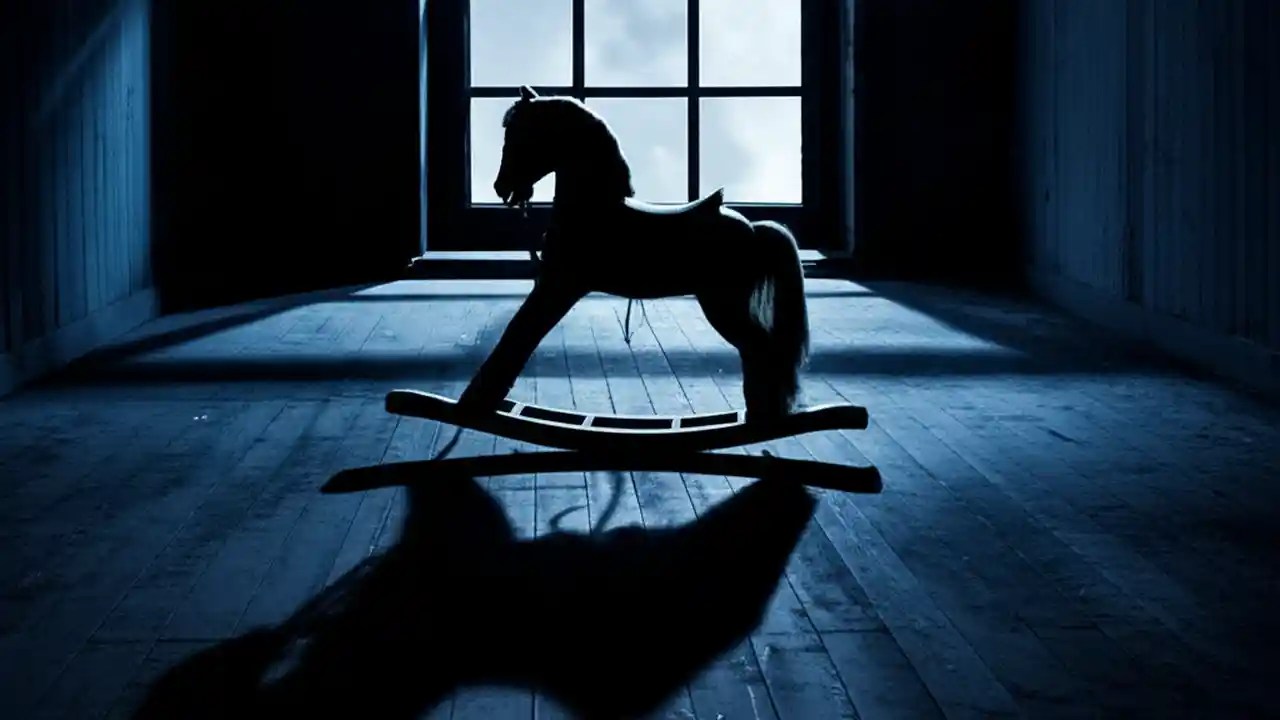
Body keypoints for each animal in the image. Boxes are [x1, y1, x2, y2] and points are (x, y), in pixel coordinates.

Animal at [457, 85, 810, 425]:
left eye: (524, 135)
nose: (501, 187)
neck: (594, 209)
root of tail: (753, 229)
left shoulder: (558, 287)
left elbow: (519, 333)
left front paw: (477, 398)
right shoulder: (555, 287)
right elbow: (519, 333)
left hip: (722, 306)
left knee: (761, 349)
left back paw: (766, 411)